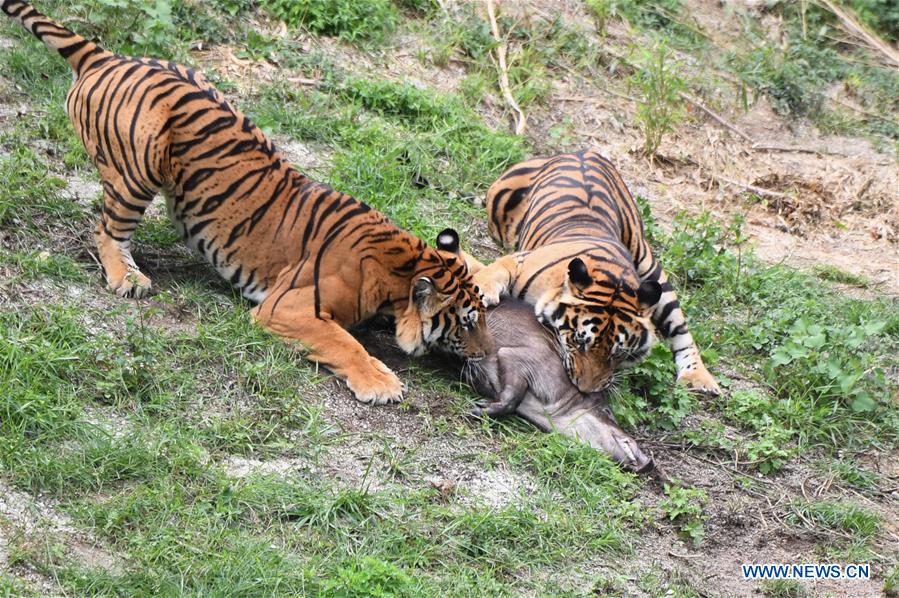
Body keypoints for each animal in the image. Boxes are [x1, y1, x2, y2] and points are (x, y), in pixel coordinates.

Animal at [1, 0, 492, 405]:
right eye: (467, 321)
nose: (488, 353)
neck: (399, 272)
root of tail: (109, 56)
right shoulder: (288, 307)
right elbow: (343, 342)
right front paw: (380, 381)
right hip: (138, 168)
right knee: (106, 230)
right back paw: (128, 278)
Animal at [474, 149, 721, 395]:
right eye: (579, 341)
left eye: (617, 353)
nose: (586, 390)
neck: (613, 279)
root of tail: (584, 151)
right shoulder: (520, 260)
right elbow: (494, 270)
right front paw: (480, 289)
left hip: (650, 268)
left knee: (682, 332)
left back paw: (699, 378)